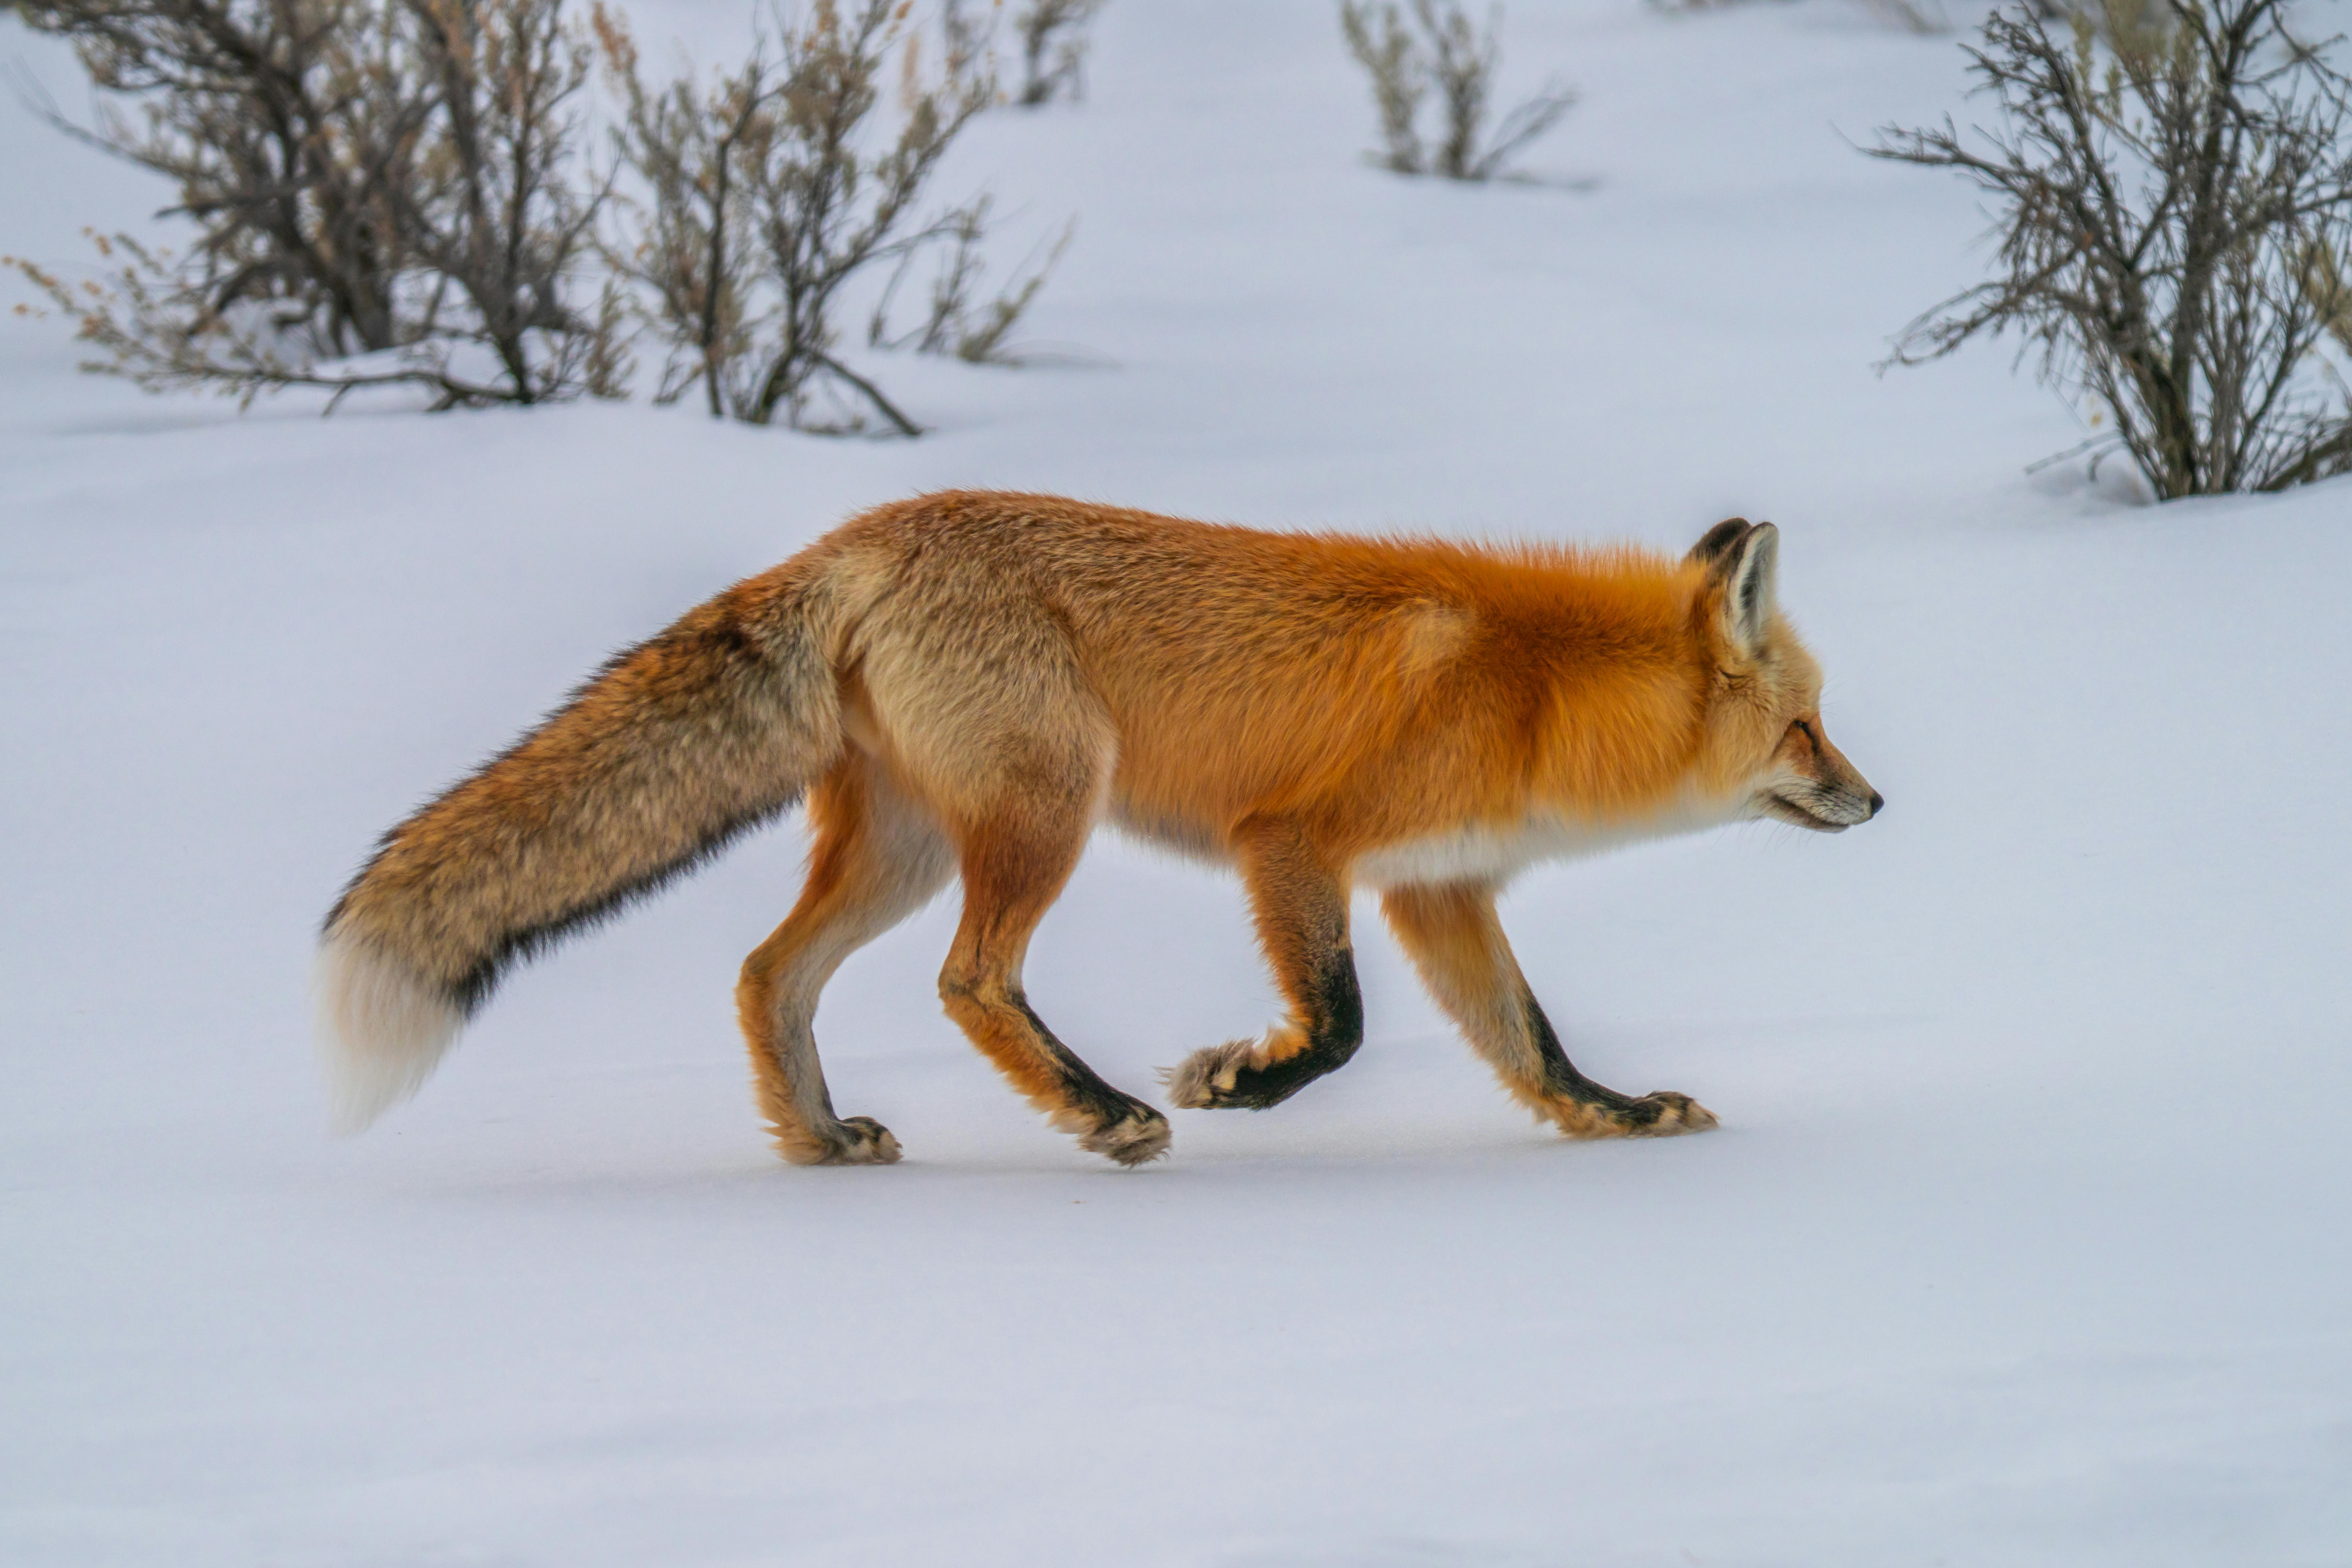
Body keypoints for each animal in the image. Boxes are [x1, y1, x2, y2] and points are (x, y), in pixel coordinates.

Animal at [319, 493, 1879, 1167]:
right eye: (1808, 728)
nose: (1875, 802)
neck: (1533, 687)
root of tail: (858, 533)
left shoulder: (1438, 890)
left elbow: (1528, 1041)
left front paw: (1616, 1120)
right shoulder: (1293, 843)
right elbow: (1338, 1029)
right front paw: (1237, 1083)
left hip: (906, 849)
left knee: (770, 976)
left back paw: (818, 1143)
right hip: (1044, 814)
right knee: (969, 982)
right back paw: (1104, 1114)